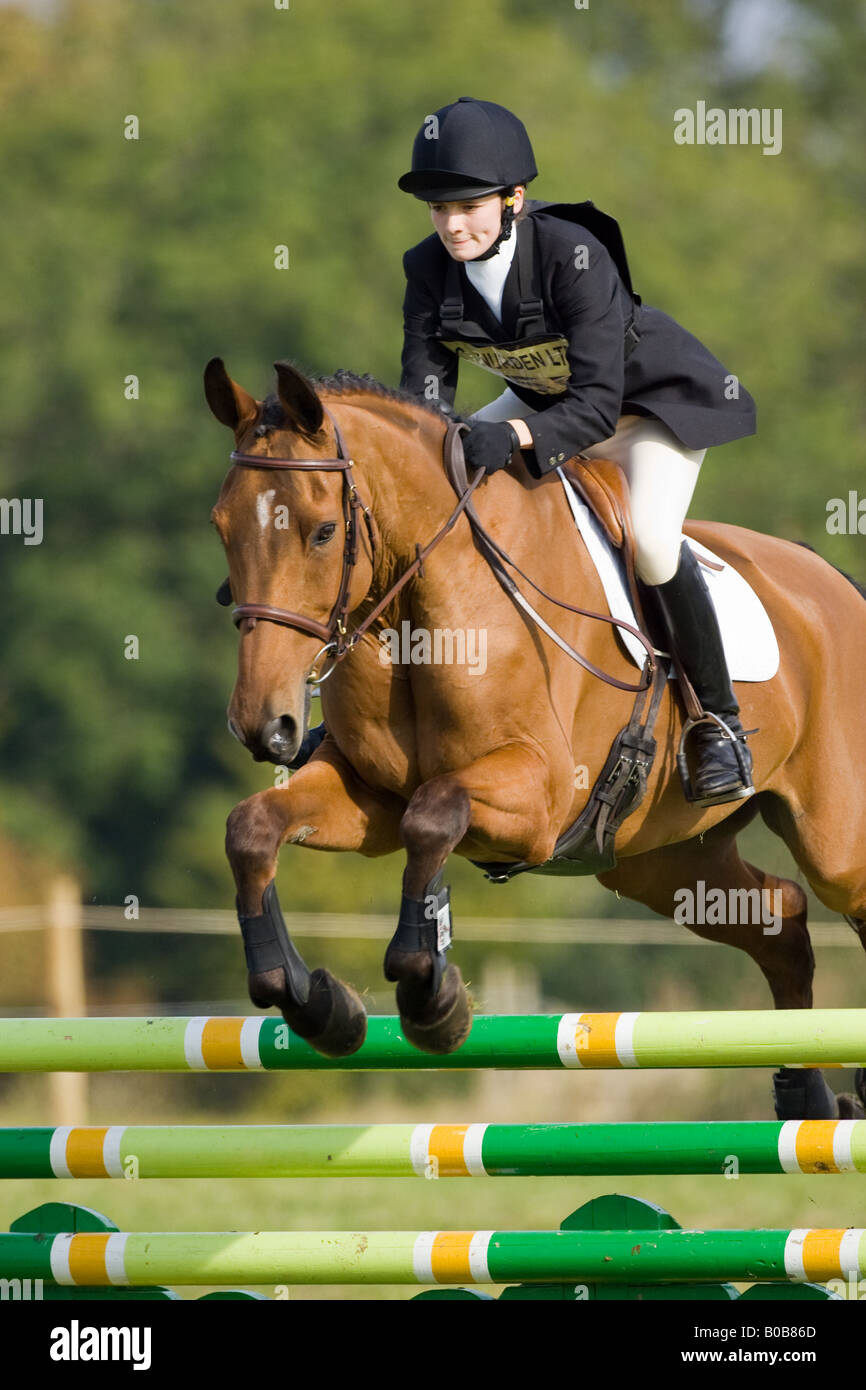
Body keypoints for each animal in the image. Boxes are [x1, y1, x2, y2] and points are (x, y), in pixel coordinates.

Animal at [204, 355, 866, 1119]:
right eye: (221, 529)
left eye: (320, 533)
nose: (263, 724)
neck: (425, 610)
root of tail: (833, 580)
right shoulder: (370, 797)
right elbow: (253, 827)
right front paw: (315, 1005)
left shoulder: (540, 797)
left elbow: (435, 813)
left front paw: (433, 1000)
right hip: (661, 861)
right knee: (782, 922)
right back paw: (809, 1097)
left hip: (835, 847)